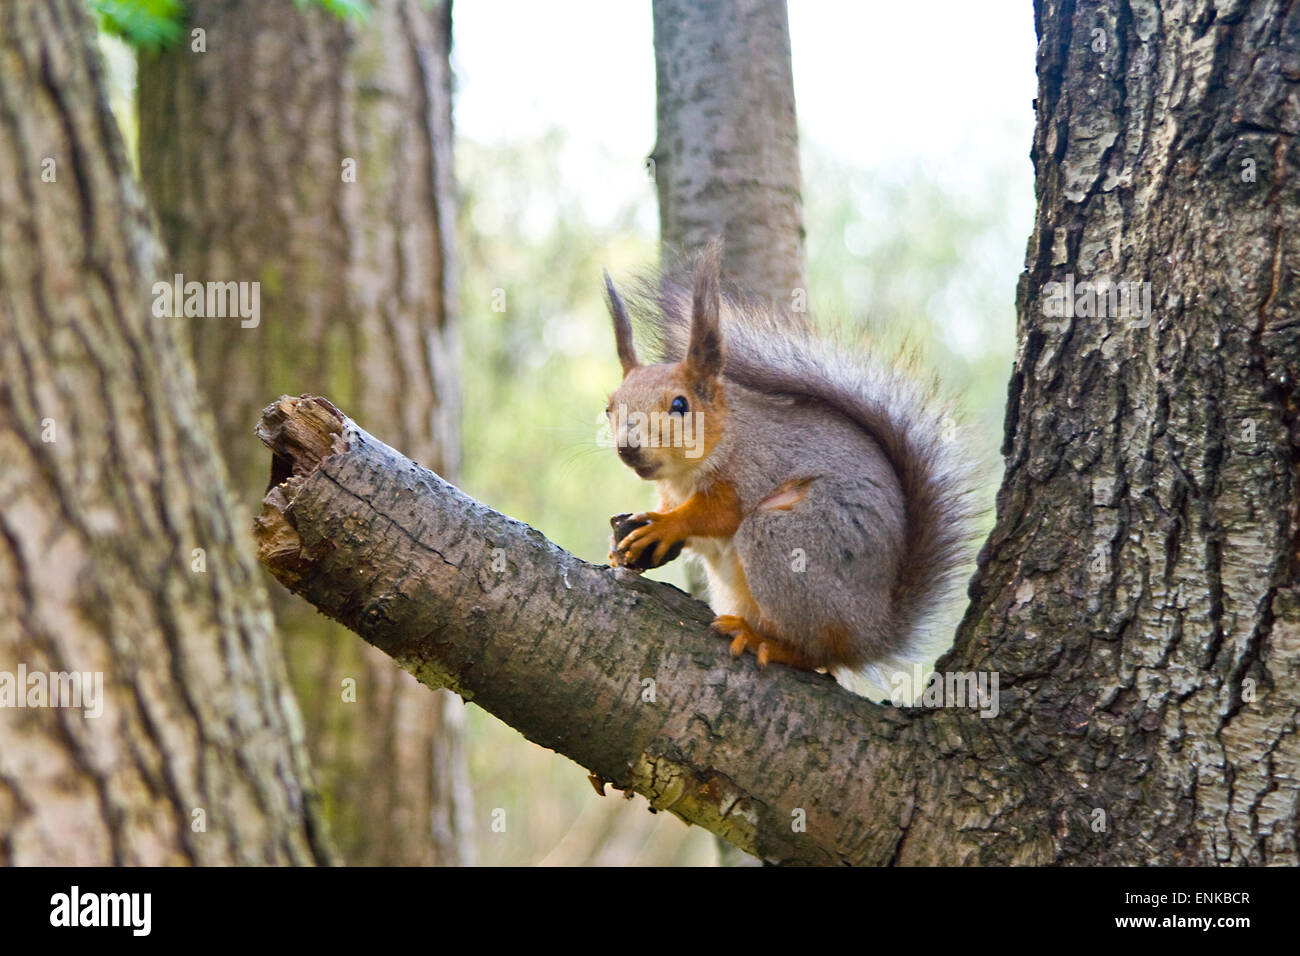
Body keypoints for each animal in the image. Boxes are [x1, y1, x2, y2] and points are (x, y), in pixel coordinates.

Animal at [603, 240, 975, 683]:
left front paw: (666, 526)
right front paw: (635, 538)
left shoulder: (754, 466)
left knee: (816, 652)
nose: (628, 447)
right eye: (609, 407)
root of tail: (872, 633)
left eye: (680, 405)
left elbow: (719, 513)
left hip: (787, 543)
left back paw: (766, 641)